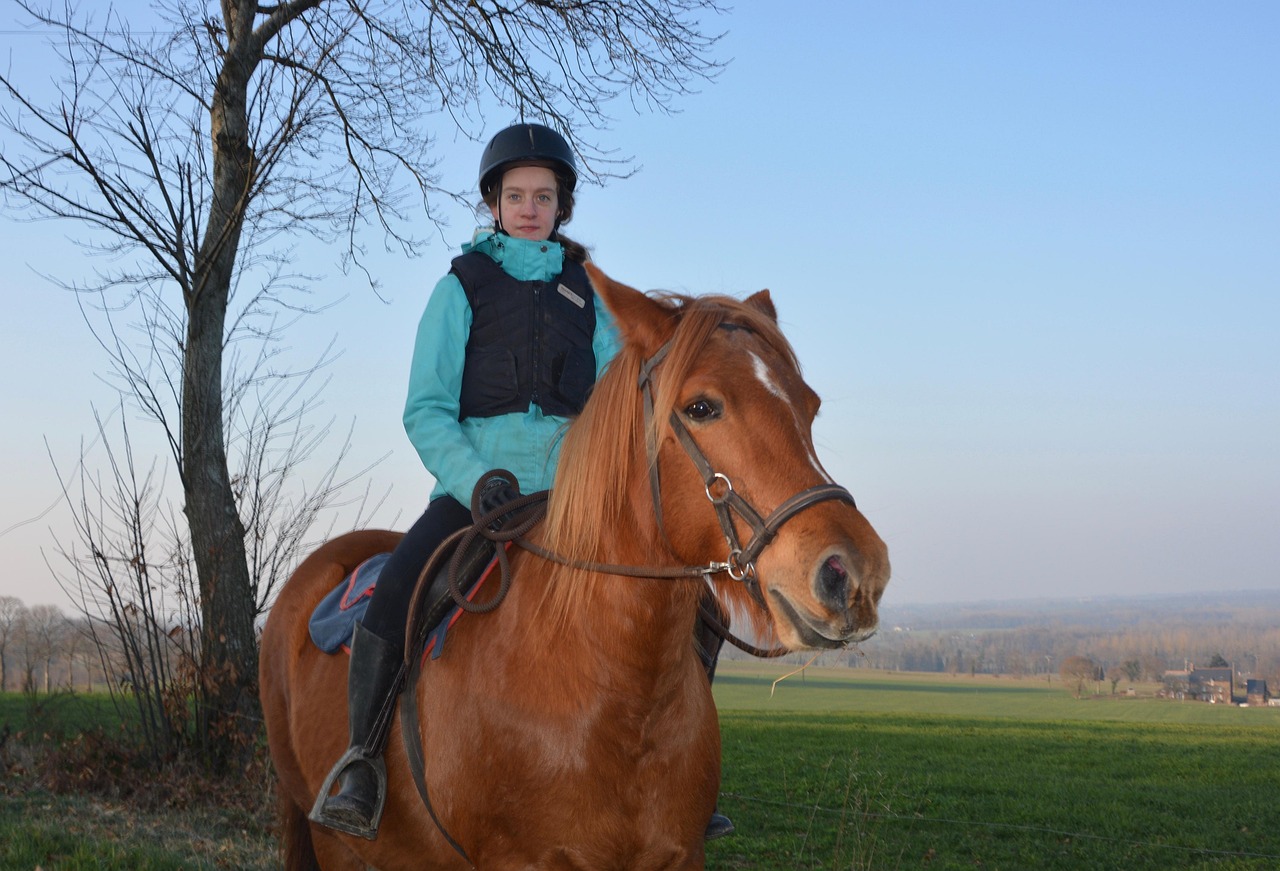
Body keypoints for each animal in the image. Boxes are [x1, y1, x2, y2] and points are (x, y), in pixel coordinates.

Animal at [258, 264, 891, 870]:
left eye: (809, 405)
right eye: (701, 407)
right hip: (336, 845)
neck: (613, 695)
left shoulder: (682, 856)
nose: (854, 574)